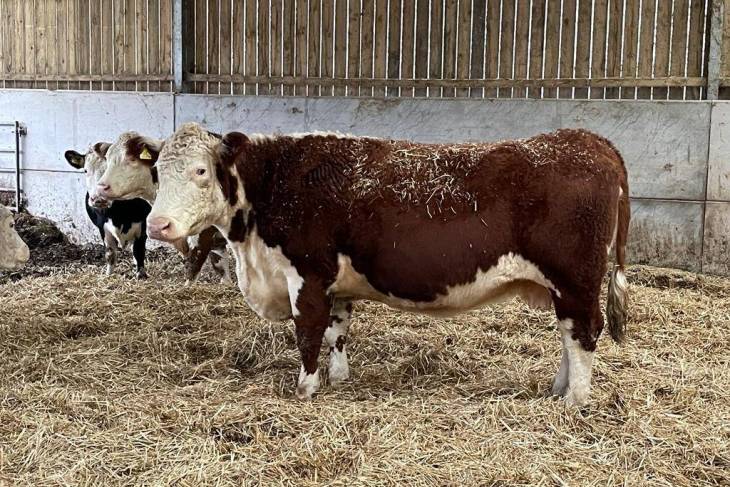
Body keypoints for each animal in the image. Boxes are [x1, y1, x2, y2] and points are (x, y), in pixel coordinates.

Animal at [150, 123, 630, 407]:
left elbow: (307, 333)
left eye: (200, 171)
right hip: (564, 286)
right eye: (157, 172)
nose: (157, 224)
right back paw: (559, 388)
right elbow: (337, 331)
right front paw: (339, 378)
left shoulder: (307, 274)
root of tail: (588, 140)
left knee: (584, 332)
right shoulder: (336, 285)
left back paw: (575, 401)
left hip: (575, 279)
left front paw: (306, 388)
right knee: (569, 335)